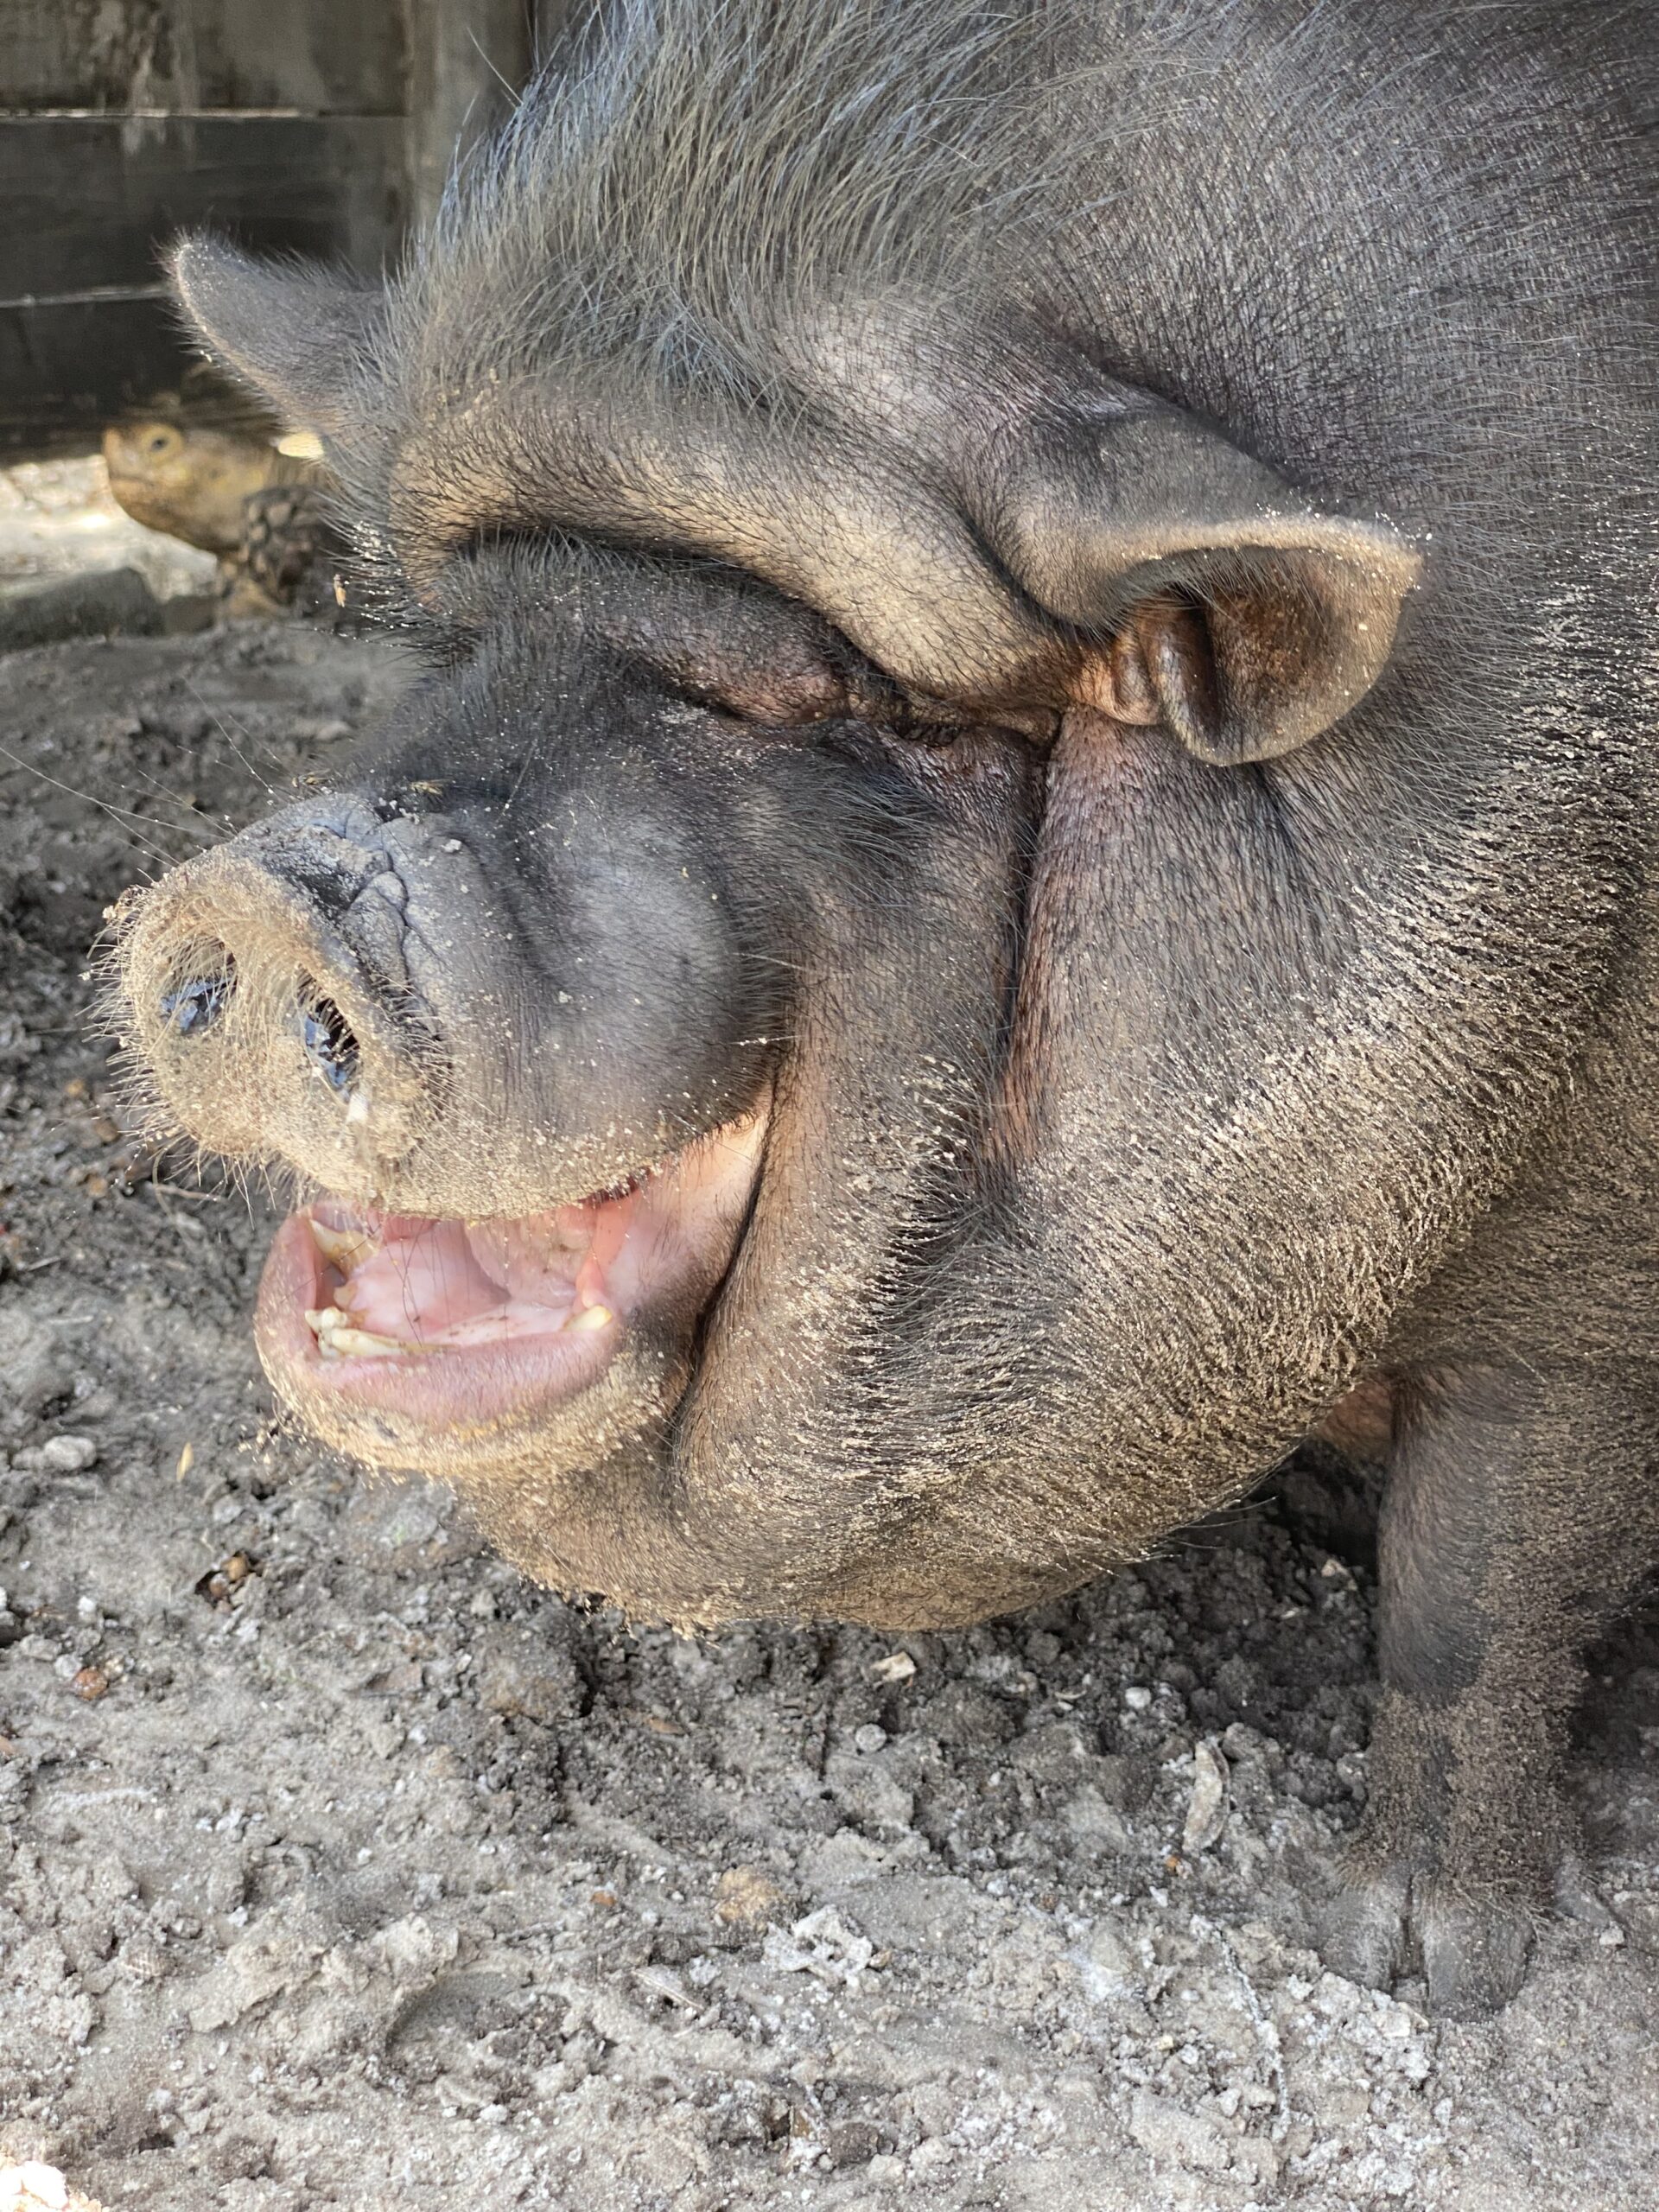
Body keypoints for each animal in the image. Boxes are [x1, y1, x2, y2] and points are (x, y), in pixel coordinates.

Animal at [109, 0, 1655, 2015]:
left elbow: (1476, 1592)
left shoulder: (1586, 1292)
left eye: (846, 706)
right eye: (455, 636)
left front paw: (1413, 1962)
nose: (264, 892)